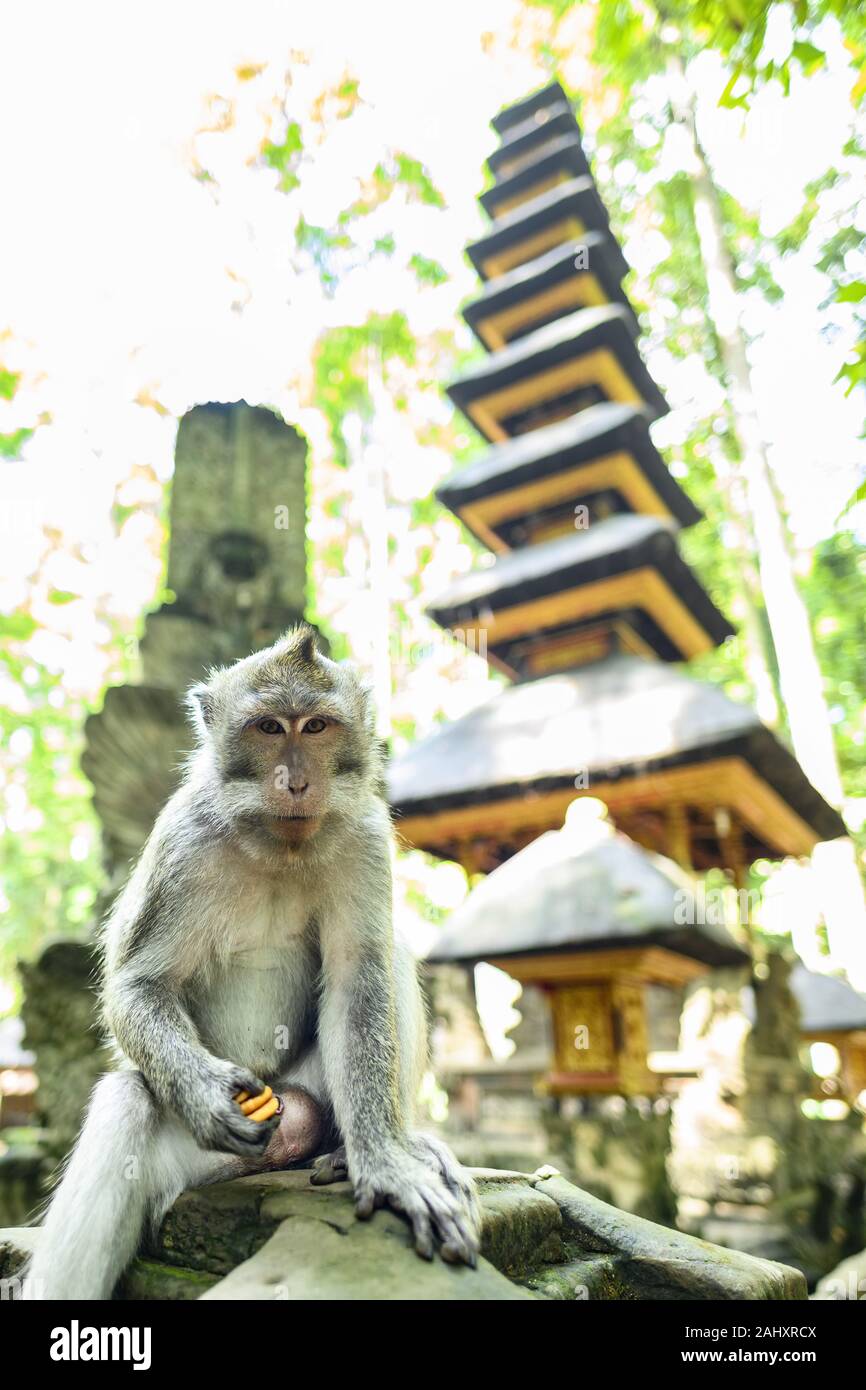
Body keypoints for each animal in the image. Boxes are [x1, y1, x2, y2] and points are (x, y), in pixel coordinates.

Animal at [24, 626, 479, 1300]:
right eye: (268, 728)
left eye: (315, 727)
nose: (295, 781)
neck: (278, 842)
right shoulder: (183, 841)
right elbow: (140, 983)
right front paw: (205, 1093)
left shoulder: (366, 836)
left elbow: (358, 977)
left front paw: (385, 1163)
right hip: (202, 1160)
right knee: (128, 1102)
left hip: (312, 1089)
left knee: (386, 954)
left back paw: (360, 1150)